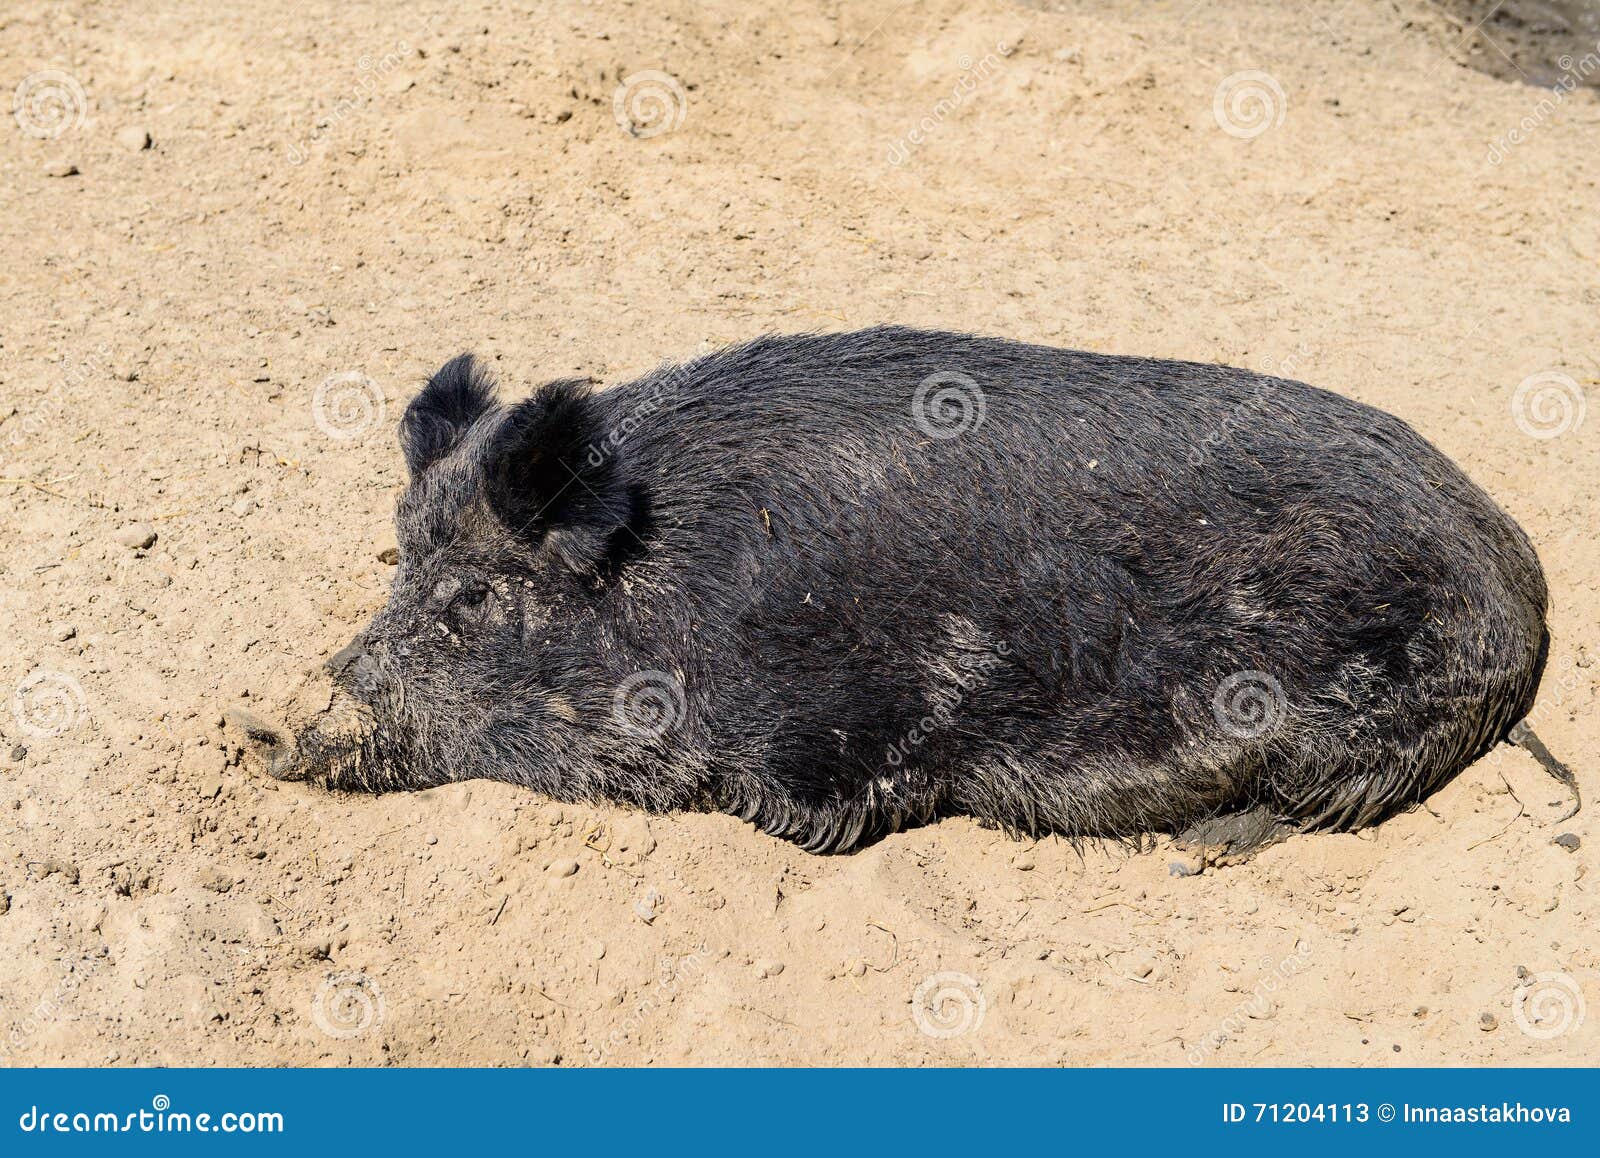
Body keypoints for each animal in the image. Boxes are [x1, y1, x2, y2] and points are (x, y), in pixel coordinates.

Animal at [231, 327, 1576, 855]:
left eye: (468, 600)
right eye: (396, 561)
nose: (261, 719)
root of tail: (1519, 580)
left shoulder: (831, 746)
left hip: (1372, 709)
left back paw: (1200, 853)